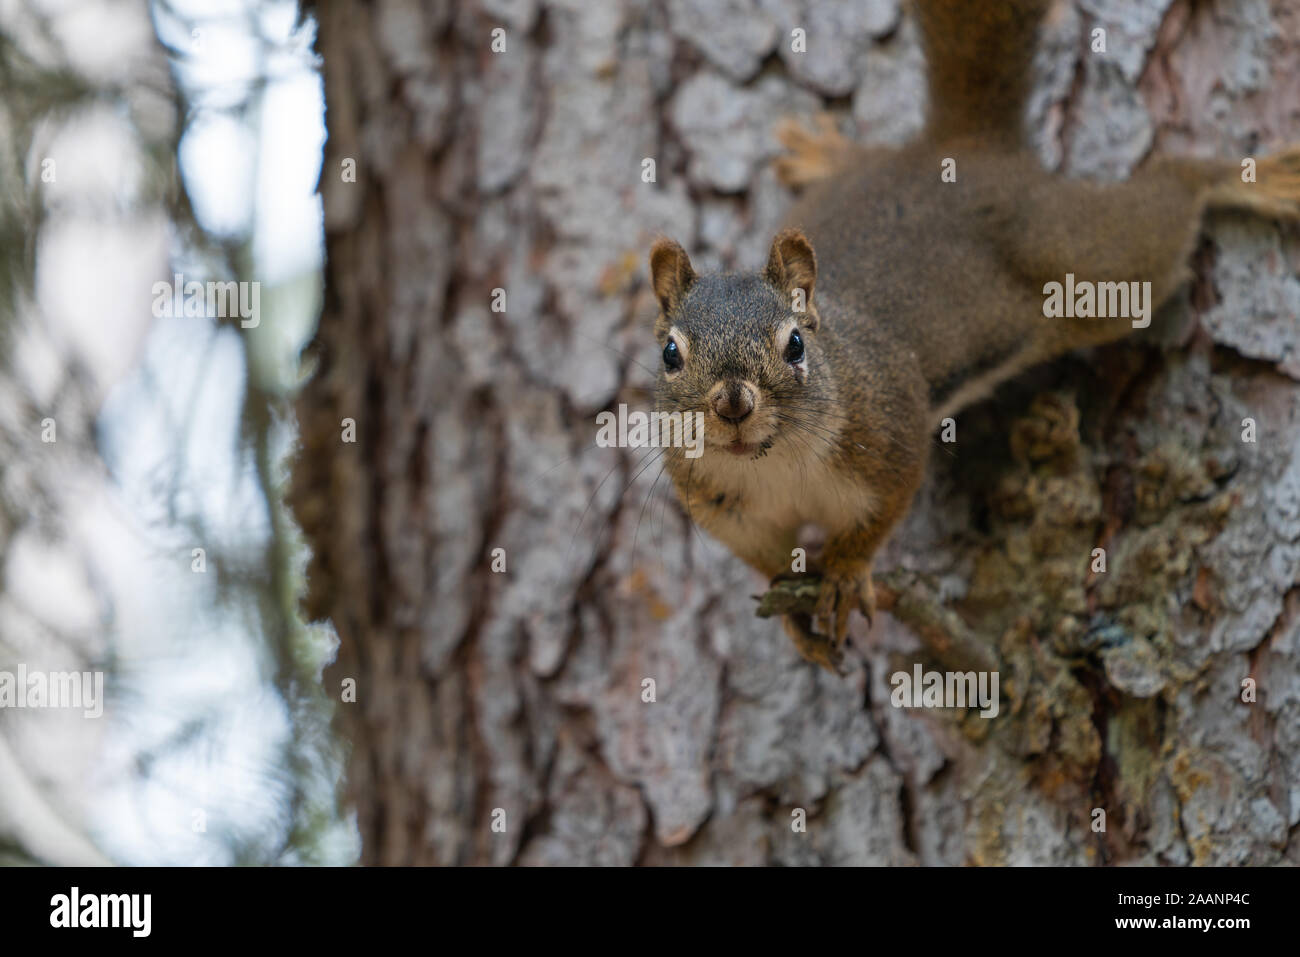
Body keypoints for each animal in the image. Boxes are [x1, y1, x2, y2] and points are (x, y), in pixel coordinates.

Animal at [647, 0, 1300, 672]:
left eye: (796, 346)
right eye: (670, 353)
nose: (732, 404)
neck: (774, 467)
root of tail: (963, 147)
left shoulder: (891, 432)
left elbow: (876, 521)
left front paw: (845, 575)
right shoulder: (727, 511)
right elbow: (769, 564)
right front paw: (795, 620)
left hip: (1095, 265)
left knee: (1172, 196)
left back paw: (1249, 178)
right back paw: (824, 151)